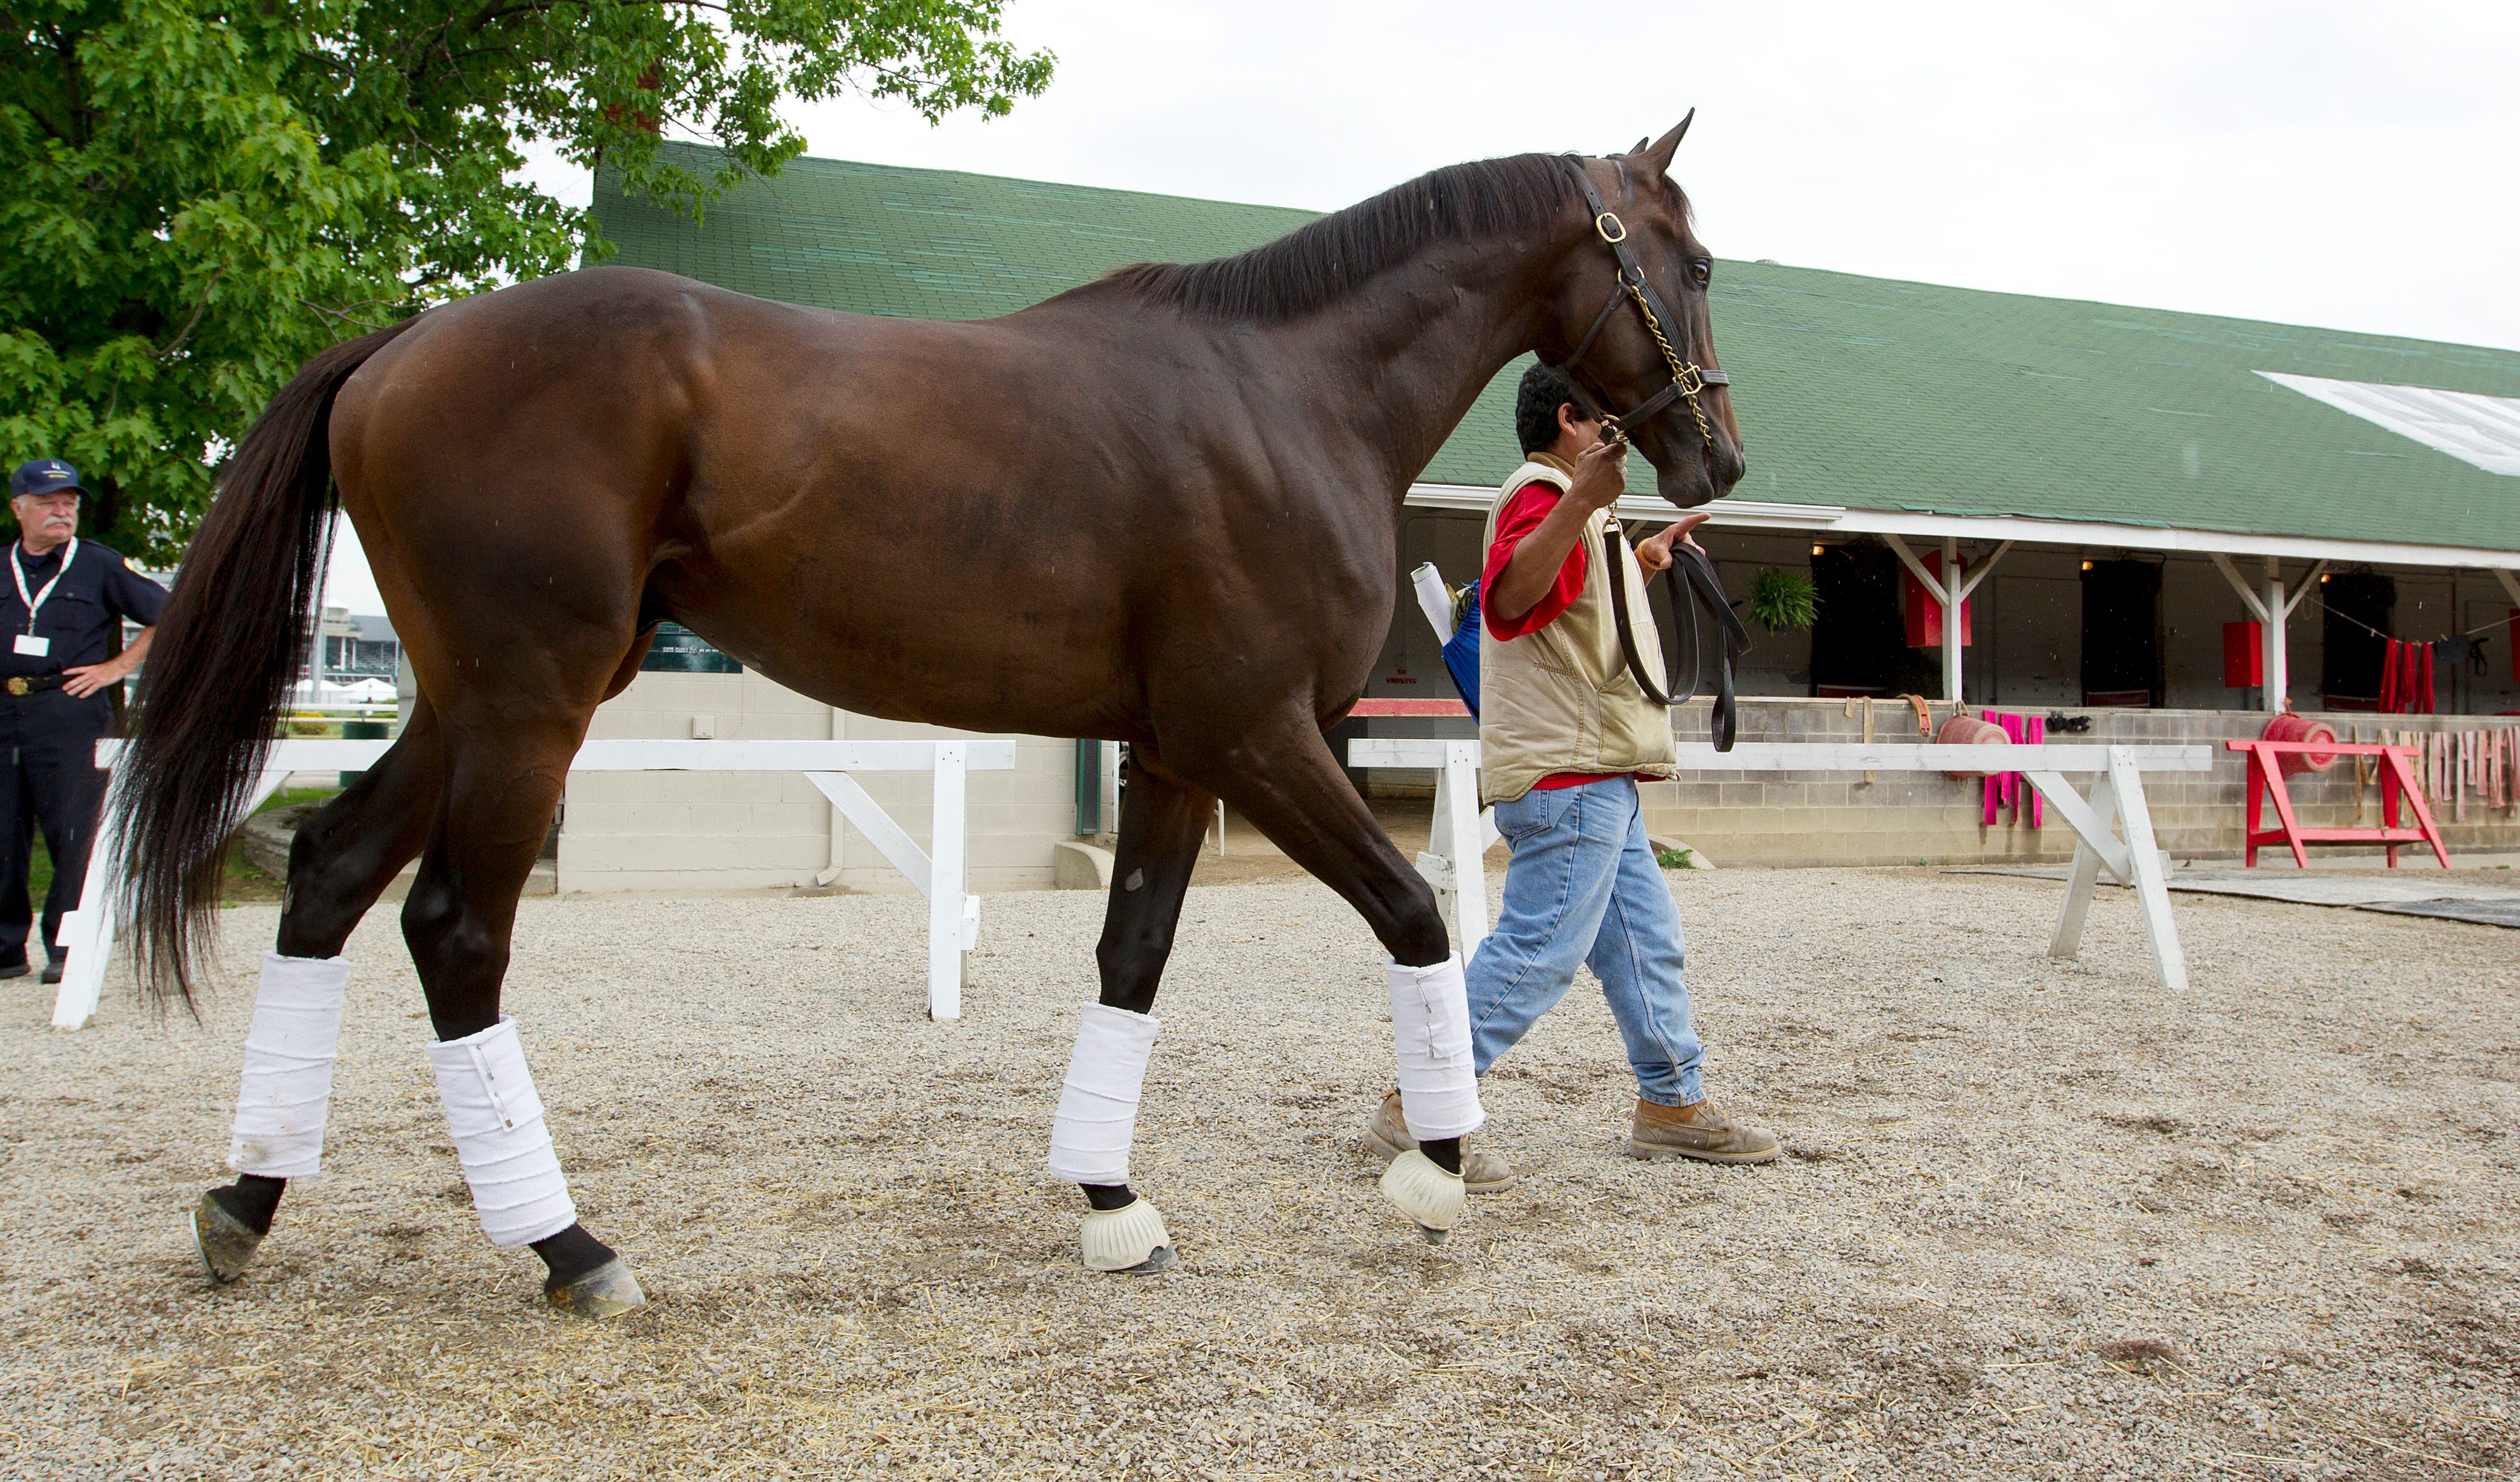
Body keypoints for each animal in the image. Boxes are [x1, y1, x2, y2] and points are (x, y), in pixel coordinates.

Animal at [116, 117, 1745, 1316]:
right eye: (1696, 259)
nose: (1716, 455)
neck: (1289, 394)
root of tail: (400, 349)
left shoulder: (1173, 754)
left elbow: (1132, 957)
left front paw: (1109, 1200)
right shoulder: (1254, 735)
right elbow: (1412, 916)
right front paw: (1434, 1167)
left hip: (470, 701)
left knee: (329, 872)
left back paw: (247, 1200)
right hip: (528, 703)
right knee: (454, 928)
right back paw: (569, 1247)